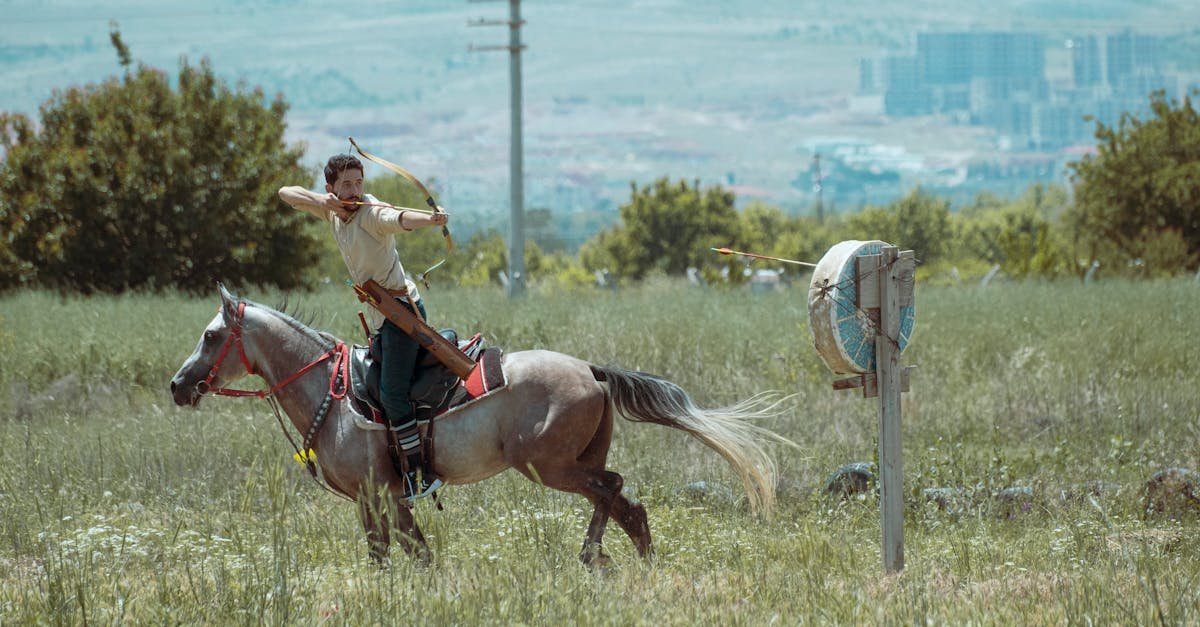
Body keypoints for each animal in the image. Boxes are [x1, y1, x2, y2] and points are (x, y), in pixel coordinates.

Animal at [169, 285, 787, 564]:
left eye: (209, 336)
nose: (177, 385)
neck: (335, 396)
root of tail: (590, 370)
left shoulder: (383, 493)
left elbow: (412, 553)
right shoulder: (376, 499)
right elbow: (392, 553)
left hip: (547, 464)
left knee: (615, 493)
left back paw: (601, 557)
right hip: (577, 460)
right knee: (624, 502)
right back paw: (621, 562)